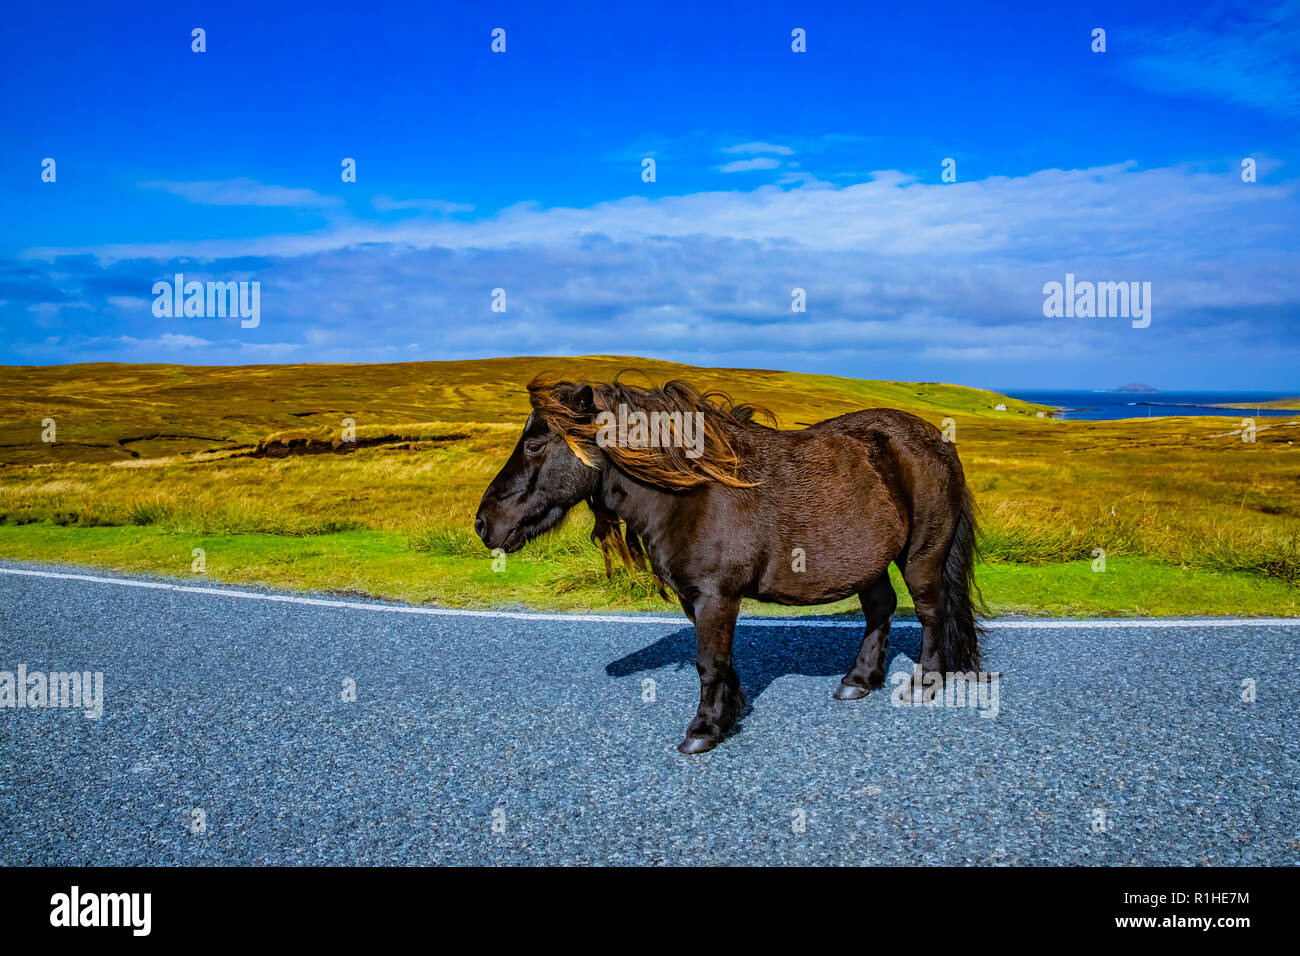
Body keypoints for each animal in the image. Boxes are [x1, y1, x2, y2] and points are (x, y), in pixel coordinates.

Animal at [475, 375, 984, 754]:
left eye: (535, 445)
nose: (483, 524)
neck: (693, 493)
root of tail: (936, 441)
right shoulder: (697, 598)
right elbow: (721, 660)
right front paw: (729, 712)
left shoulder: (716, 595)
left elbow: (709, 661)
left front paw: (702, 730)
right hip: (868, 564)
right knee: (881, 609)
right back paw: (857, 681)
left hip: (922, 556)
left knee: (930, 613)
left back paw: (923, 683)